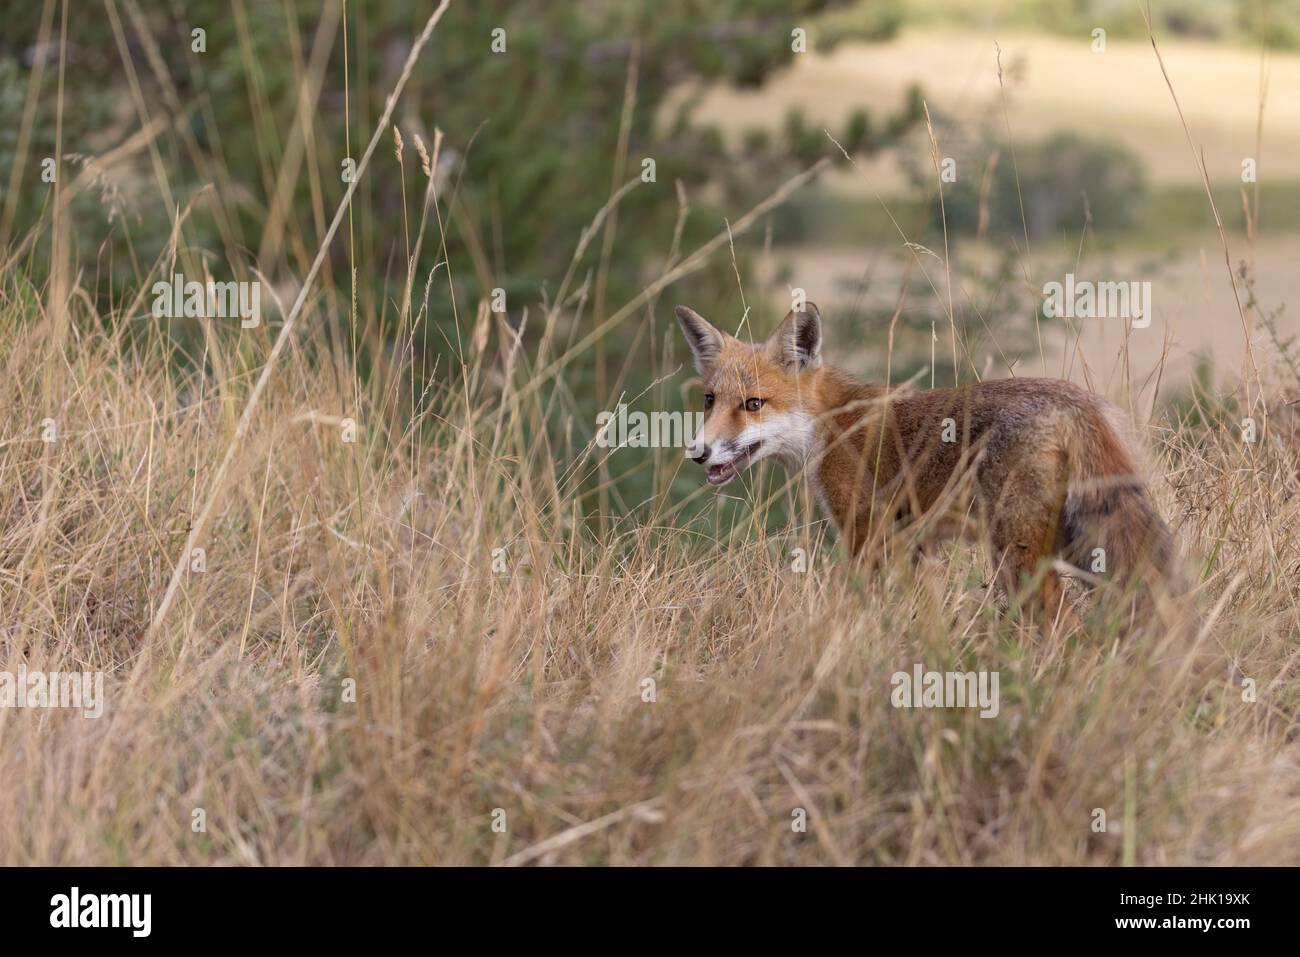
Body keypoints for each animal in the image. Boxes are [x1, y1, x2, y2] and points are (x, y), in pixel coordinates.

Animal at [674, 301, 1179, 631]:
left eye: (753, 404)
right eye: (710, 399)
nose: (698, 452)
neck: (831, 423)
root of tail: (1076, 402)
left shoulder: (865, 536)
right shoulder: (916, 548)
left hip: (1018, 560)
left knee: (1066, 630)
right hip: (1081, 550)